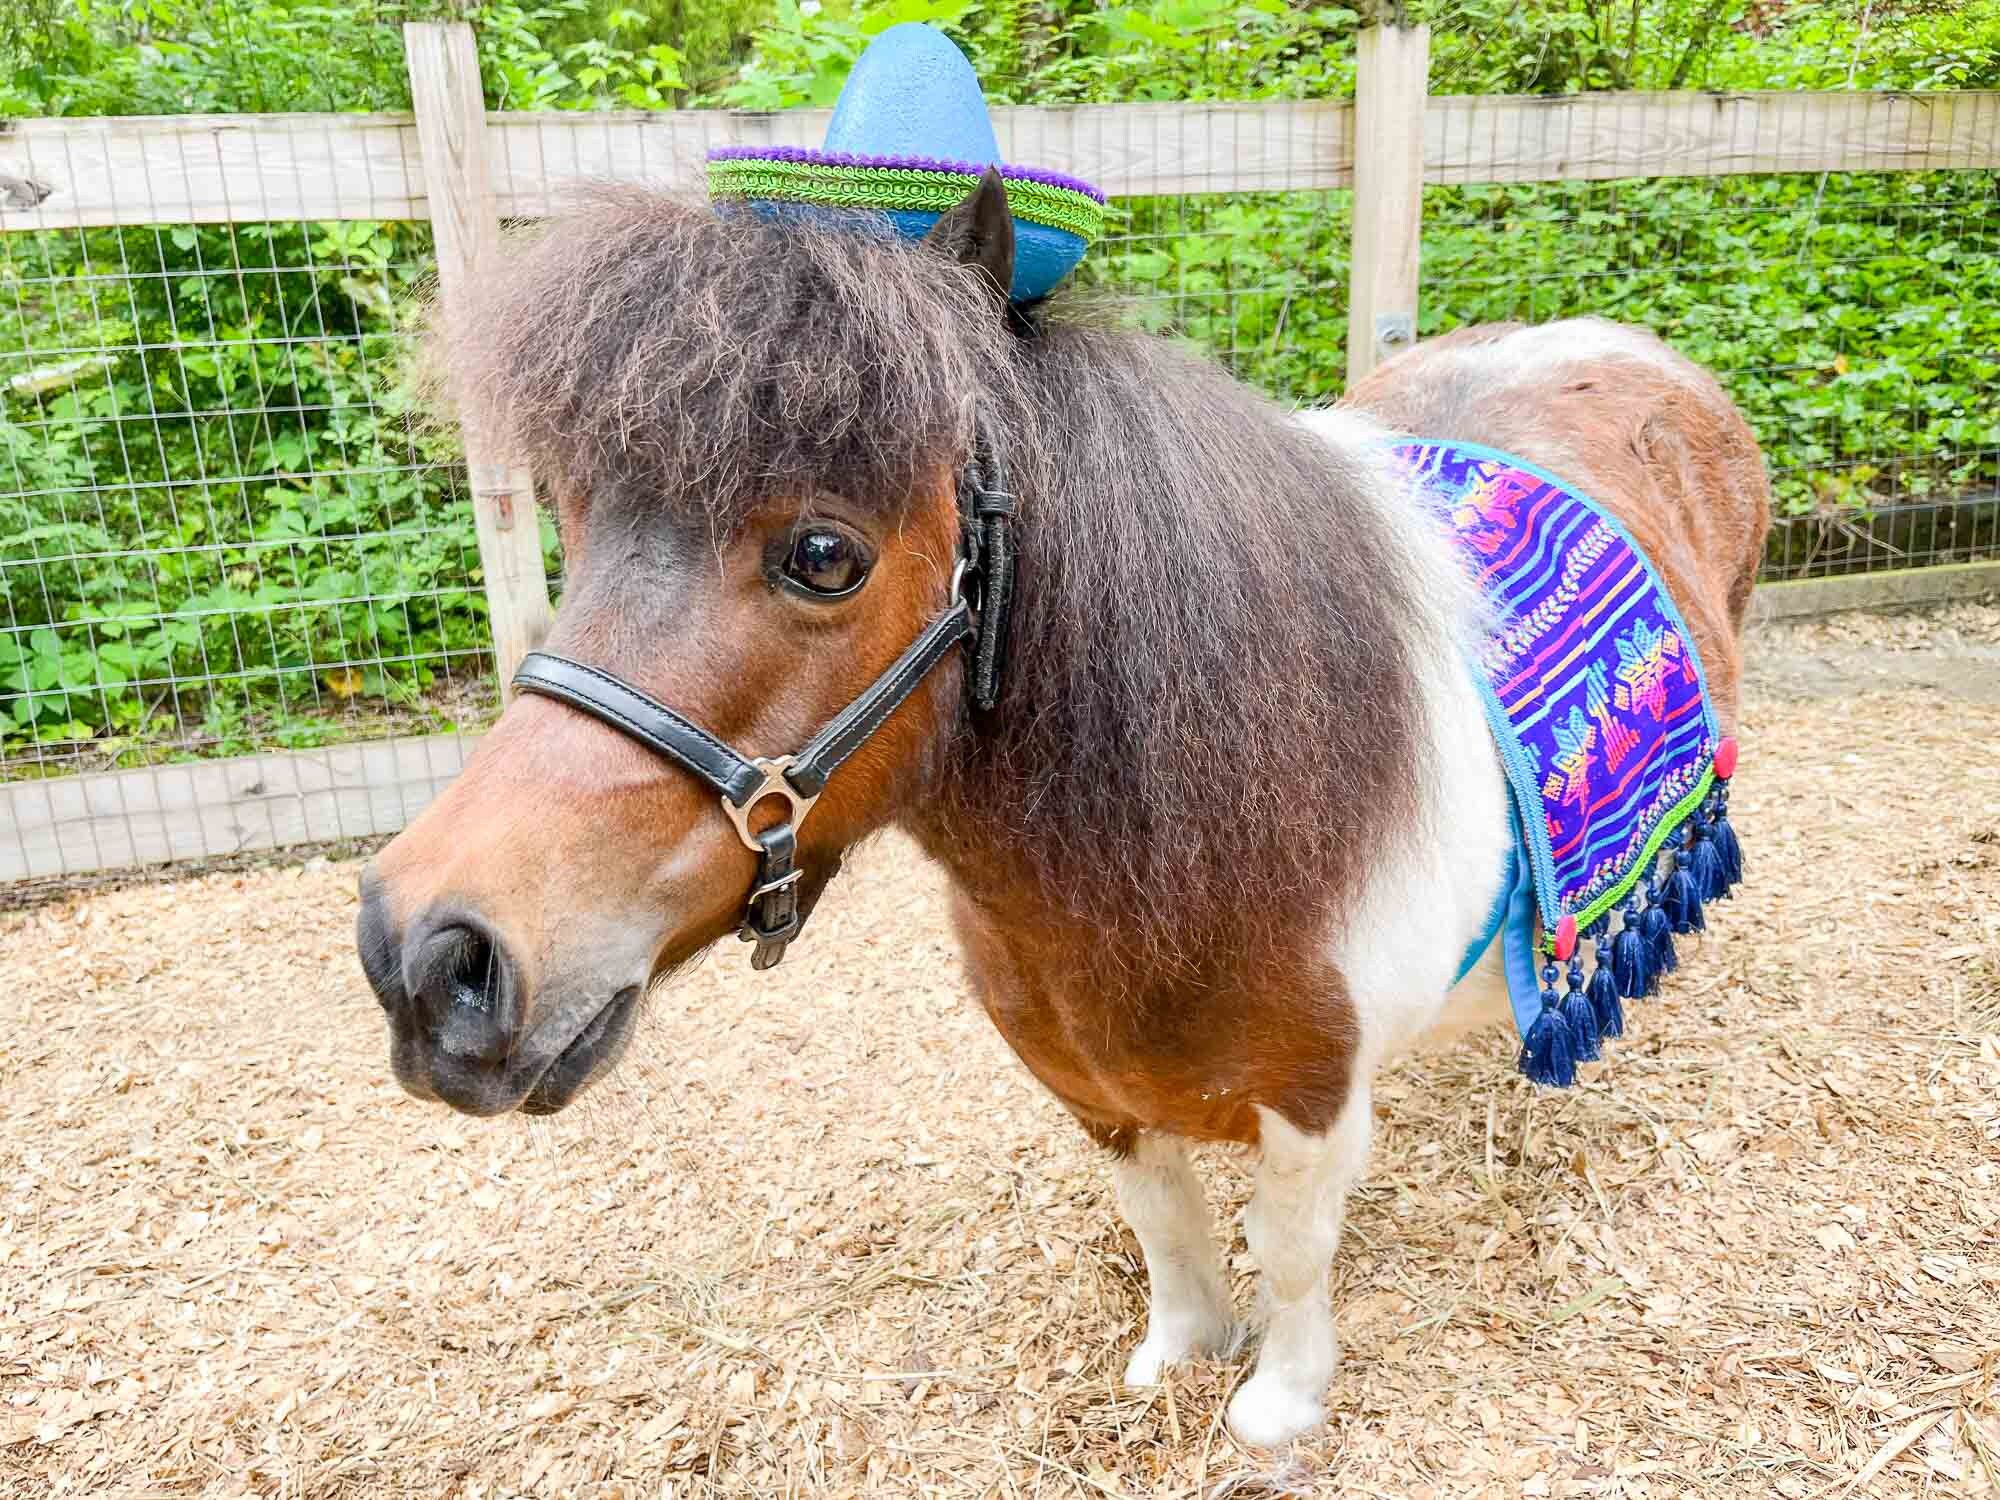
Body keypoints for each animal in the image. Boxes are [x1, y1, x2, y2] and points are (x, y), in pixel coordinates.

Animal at [356, 174, 1771, 1447]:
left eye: (823, 556)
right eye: (576, 521)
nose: (425, 957)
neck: (1176, 863)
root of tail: (1607, 341)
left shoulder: (1310, 1105)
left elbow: (1291, 1247)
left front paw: (1277, 1403)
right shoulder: (1084, 1085)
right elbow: (1163, 1220)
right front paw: (1182, 1348)